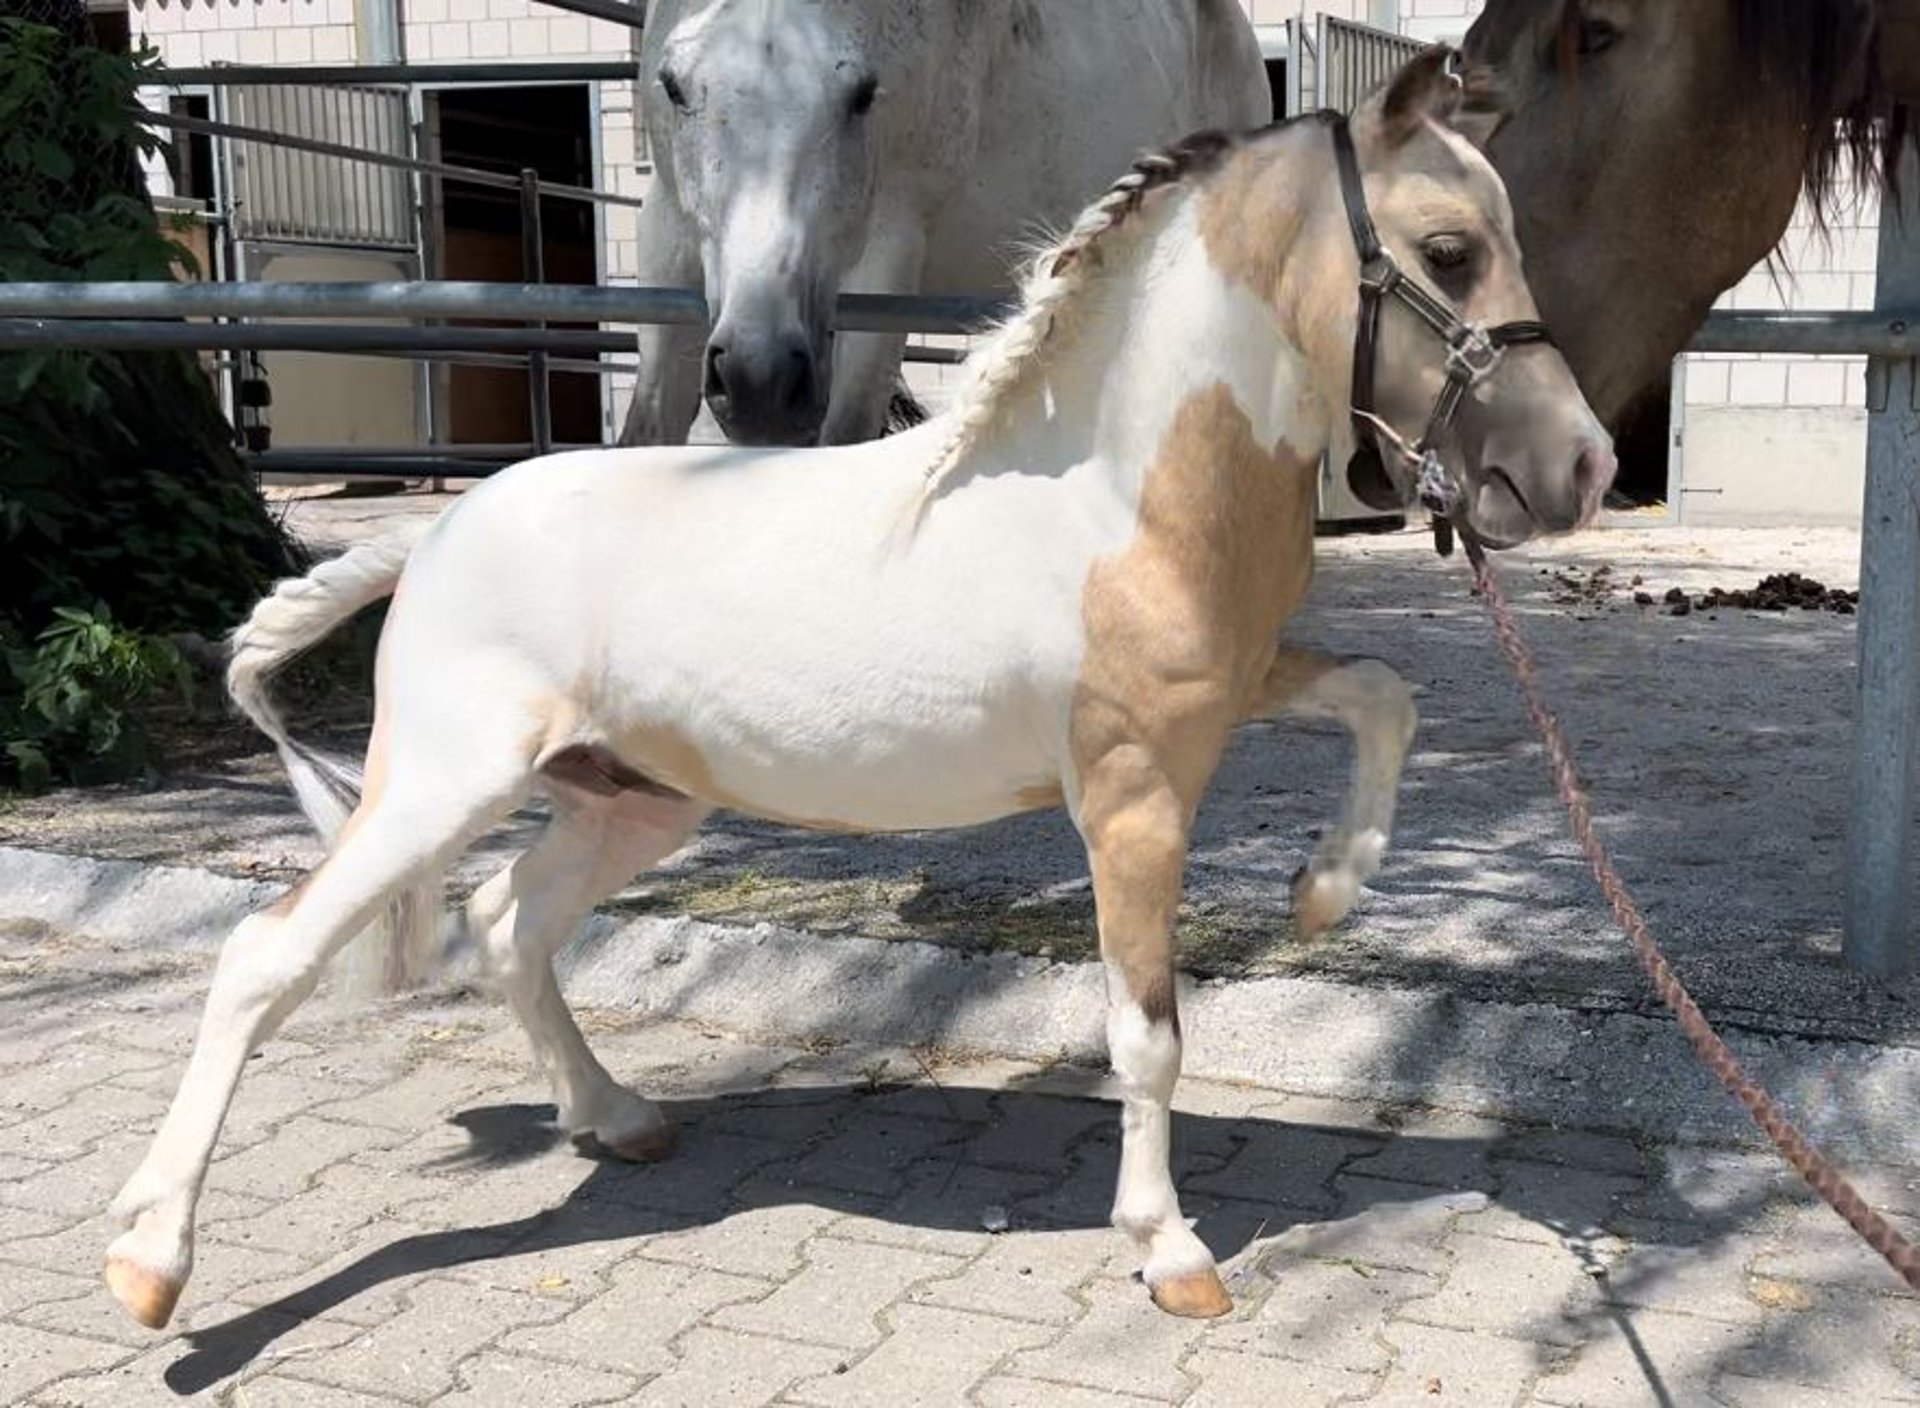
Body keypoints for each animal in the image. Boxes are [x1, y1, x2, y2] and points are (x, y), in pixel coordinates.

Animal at [103, 48, 1614, 1332]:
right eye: (1447, 251)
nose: (1581, 468)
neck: (1110, 491)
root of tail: (430, 537)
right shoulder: (1131, 795)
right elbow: (1147, 1033)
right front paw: (1172, 1251)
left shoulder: (1225, 700)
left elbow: (1382, 693)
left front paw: (1326, 891)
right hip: (440, 780)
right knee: (268, 958)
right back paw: (151, 1263)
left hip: (630, 799)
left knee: (507, 920)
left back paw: (619, 1118)